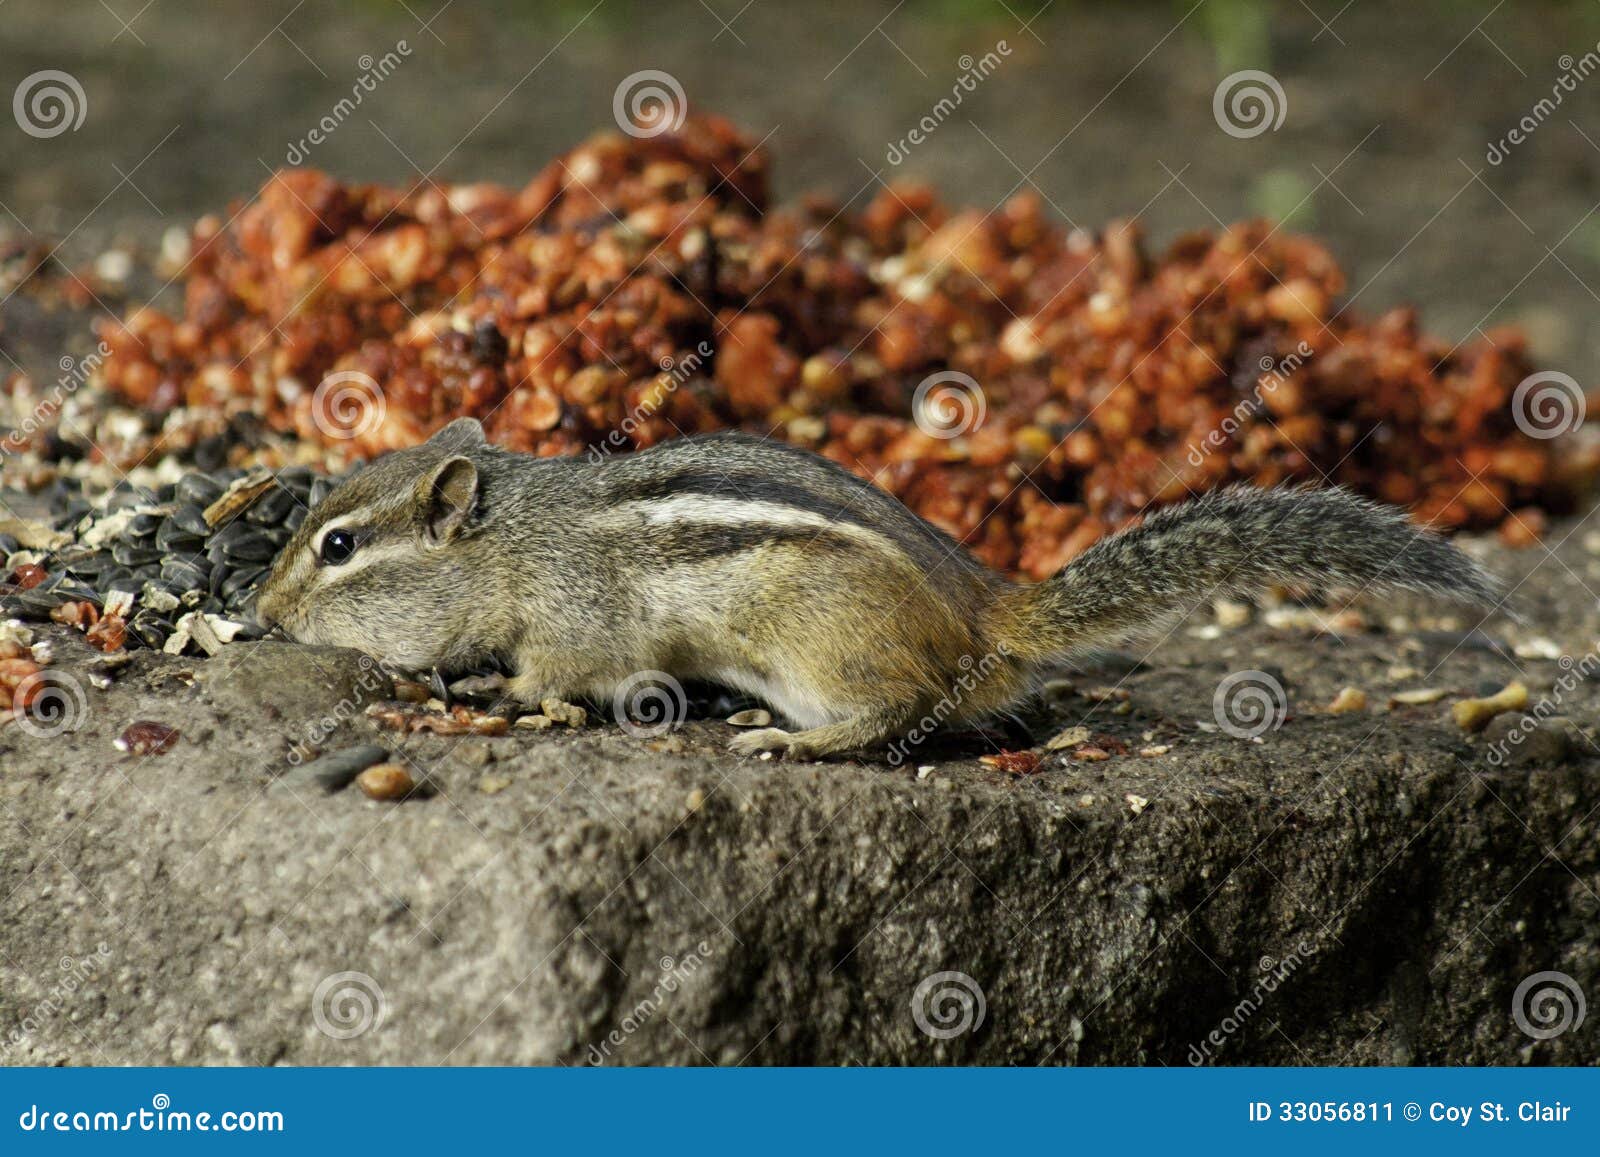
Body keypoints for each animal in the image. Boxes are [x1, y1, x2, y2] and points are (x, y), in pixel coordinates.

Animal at [254, 417, 1502, 760]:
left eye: (337, 547)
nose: (262, 615)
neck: (512, 538)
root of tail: (989, 611)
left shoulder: (576, 616)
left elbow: (568, 672)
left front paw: (508, 694)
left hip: (820, 653)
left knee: (893, 714)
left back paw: (790, 740)